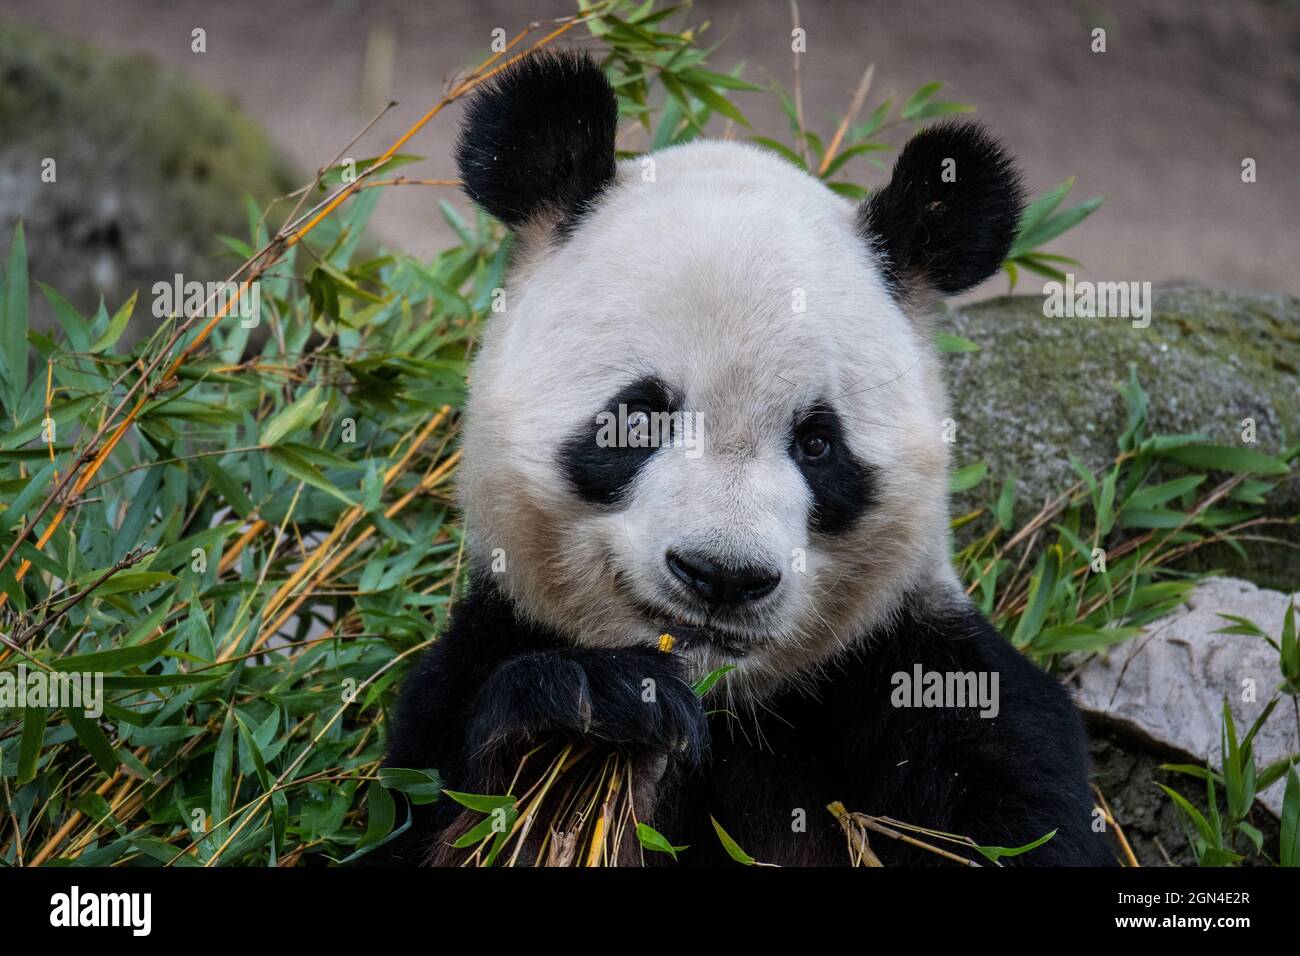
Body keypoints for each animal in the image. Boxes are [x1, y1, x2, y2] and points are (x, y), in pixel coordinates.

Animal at [376, 51, 1112, 866]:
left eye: (818, 443)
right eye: (638, 419)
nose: (723, 576)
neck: (724, 702)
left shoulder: (922, 679)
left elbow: (1019, 812)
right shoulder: (474, 662)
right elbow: (435, 808)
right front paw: (587, 703)